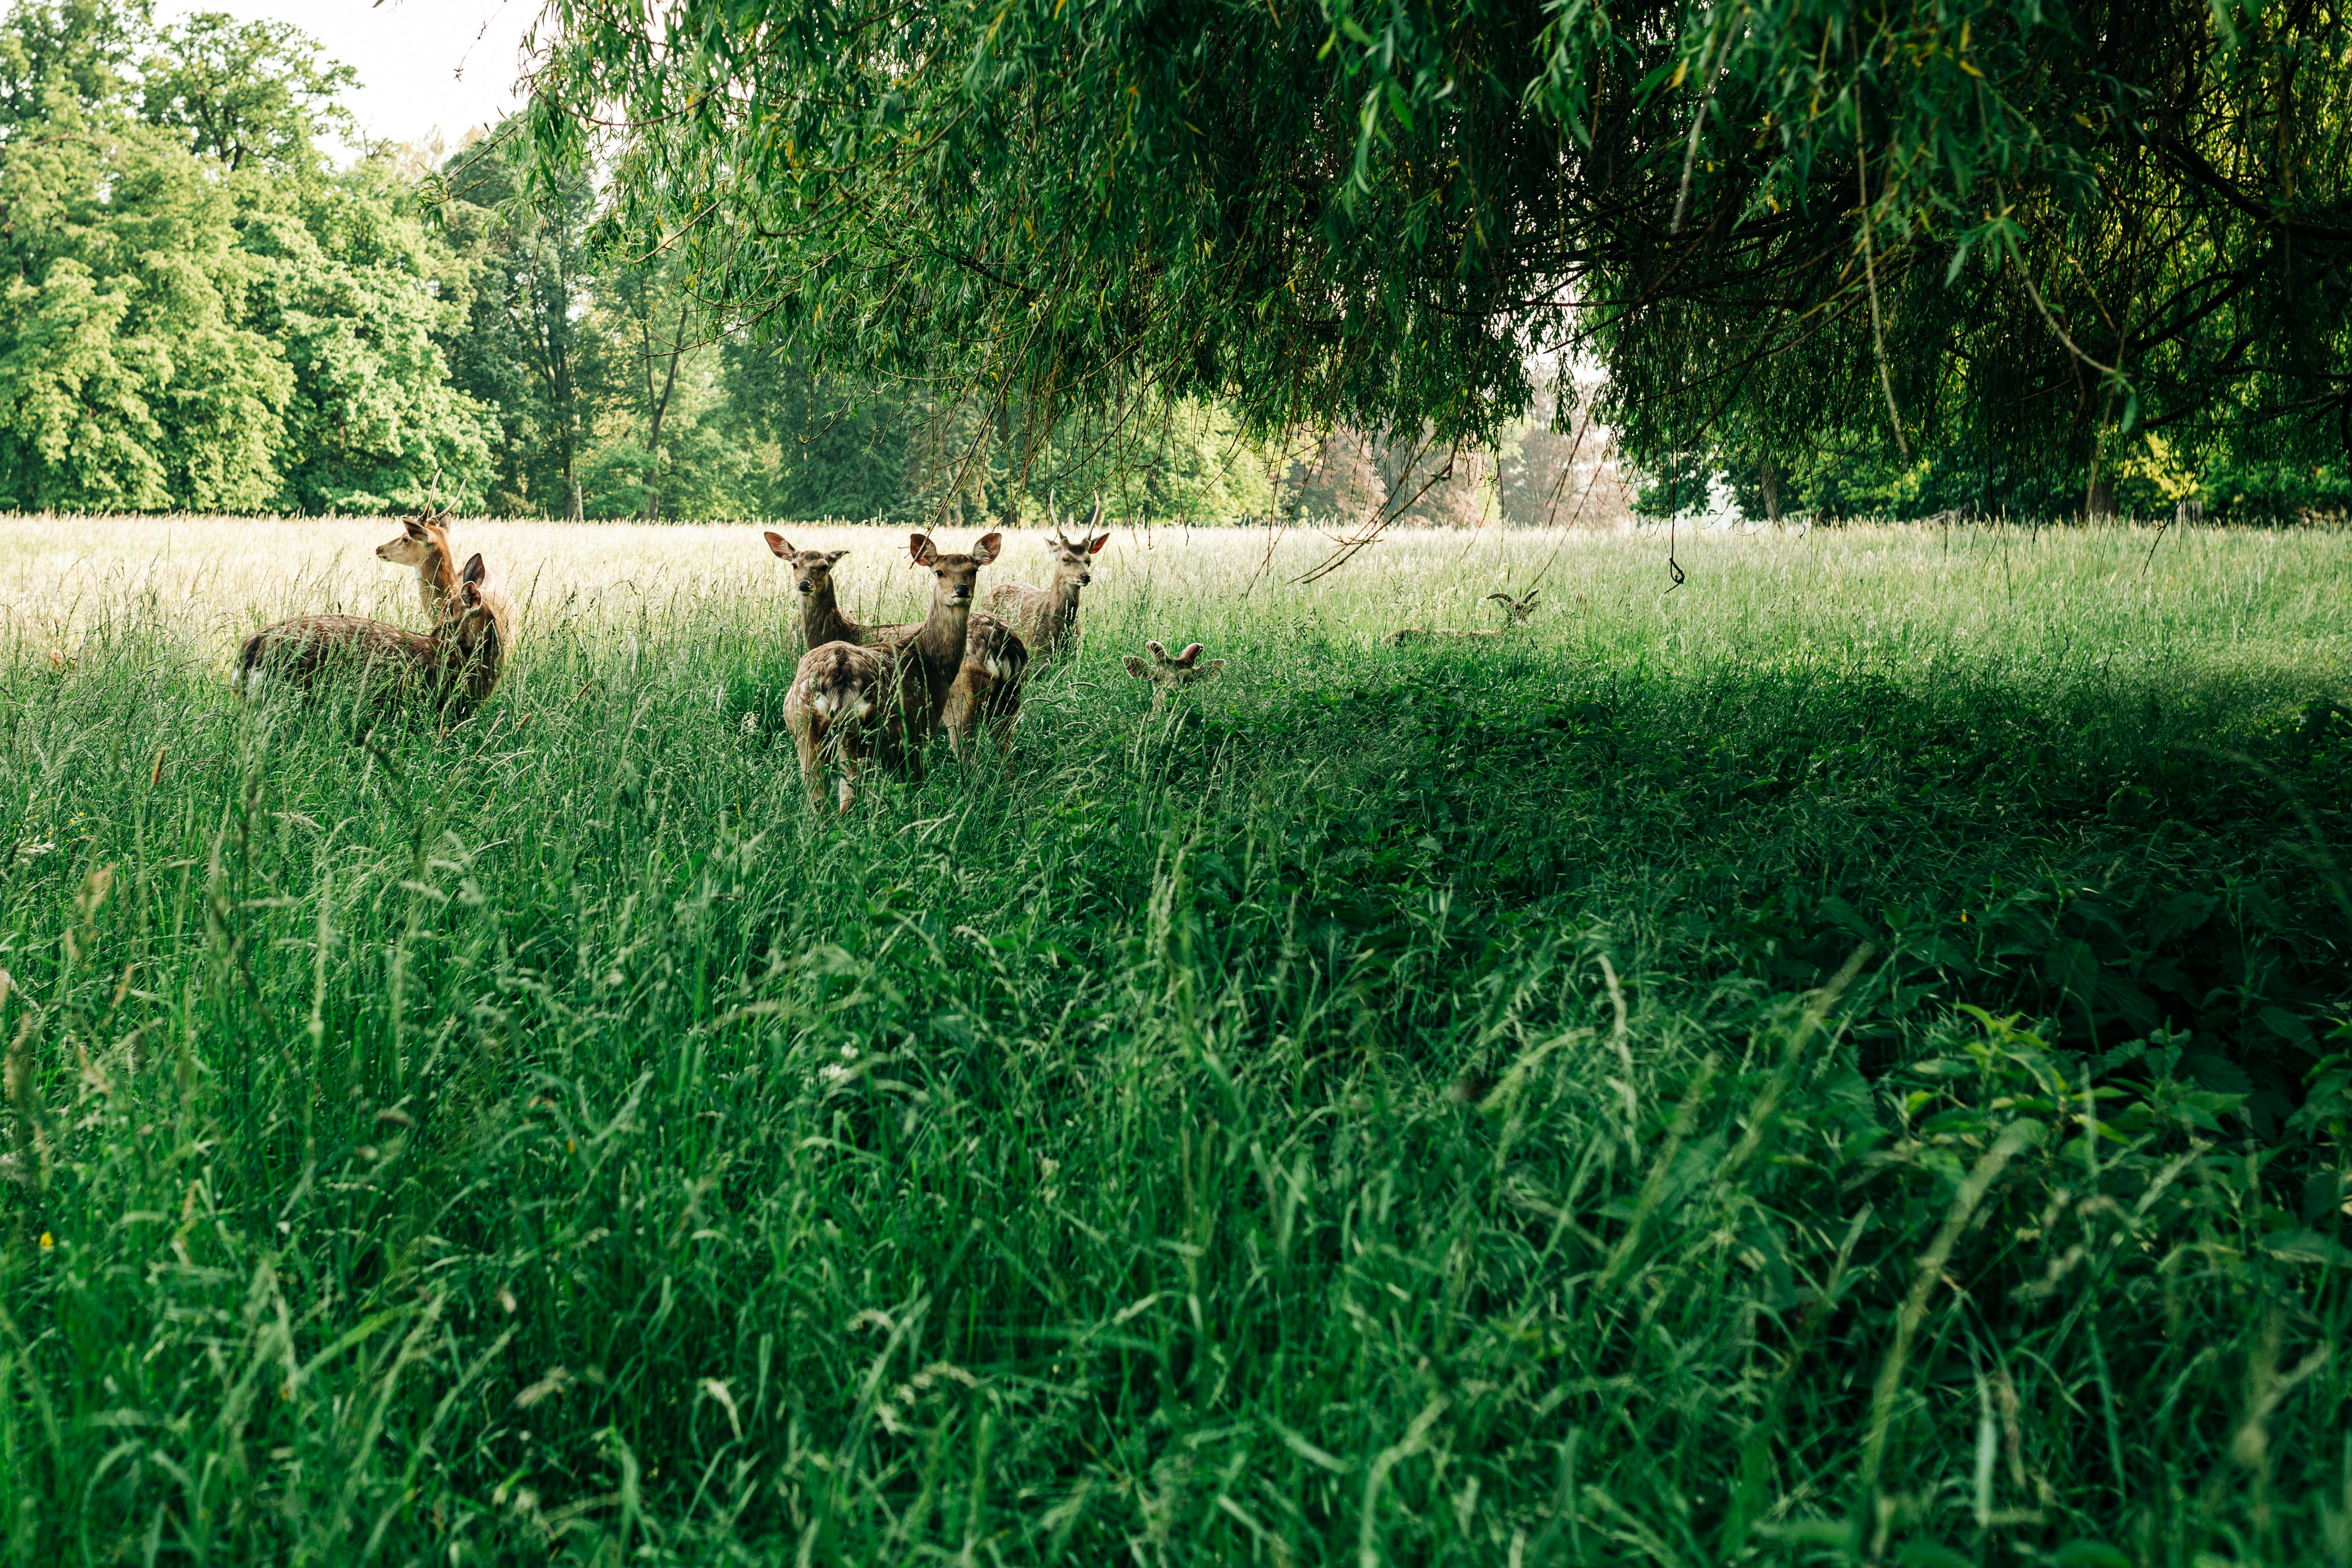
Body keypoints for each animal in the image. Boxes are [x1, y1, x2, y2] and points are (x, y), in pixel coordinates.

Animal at [785, 532, 1002, 811]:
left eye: (973, 570)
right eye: (939, 572)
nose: (961, 589)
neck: (931, 661)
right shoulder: (918, 728)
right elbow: (914, 786)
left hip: (804, 727)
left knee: (817, 799)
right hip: (862, 733)